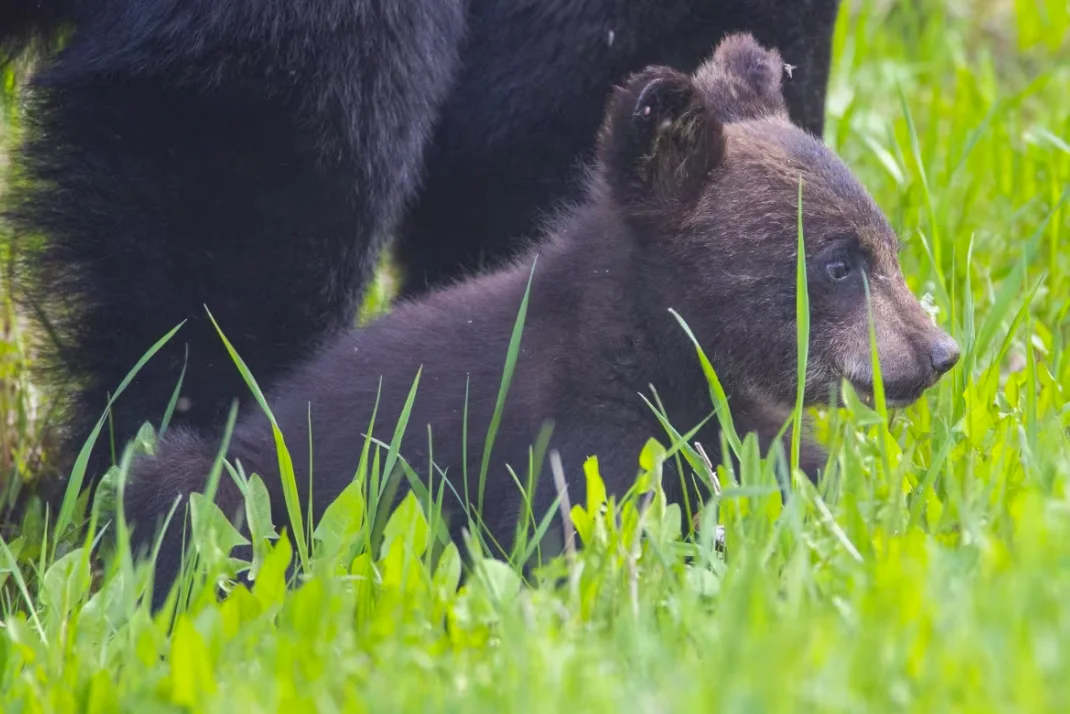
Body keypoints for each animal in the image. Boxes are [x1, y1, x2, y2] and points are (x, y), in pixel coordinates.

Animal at [123, 34, 961, 612]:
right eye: (838, 263)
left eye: (888, 245)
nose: (939, 352)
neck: (660, 359)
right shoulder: (570, 446)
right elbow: (577, 537)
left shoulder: (748, 433)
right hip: (223, 486)